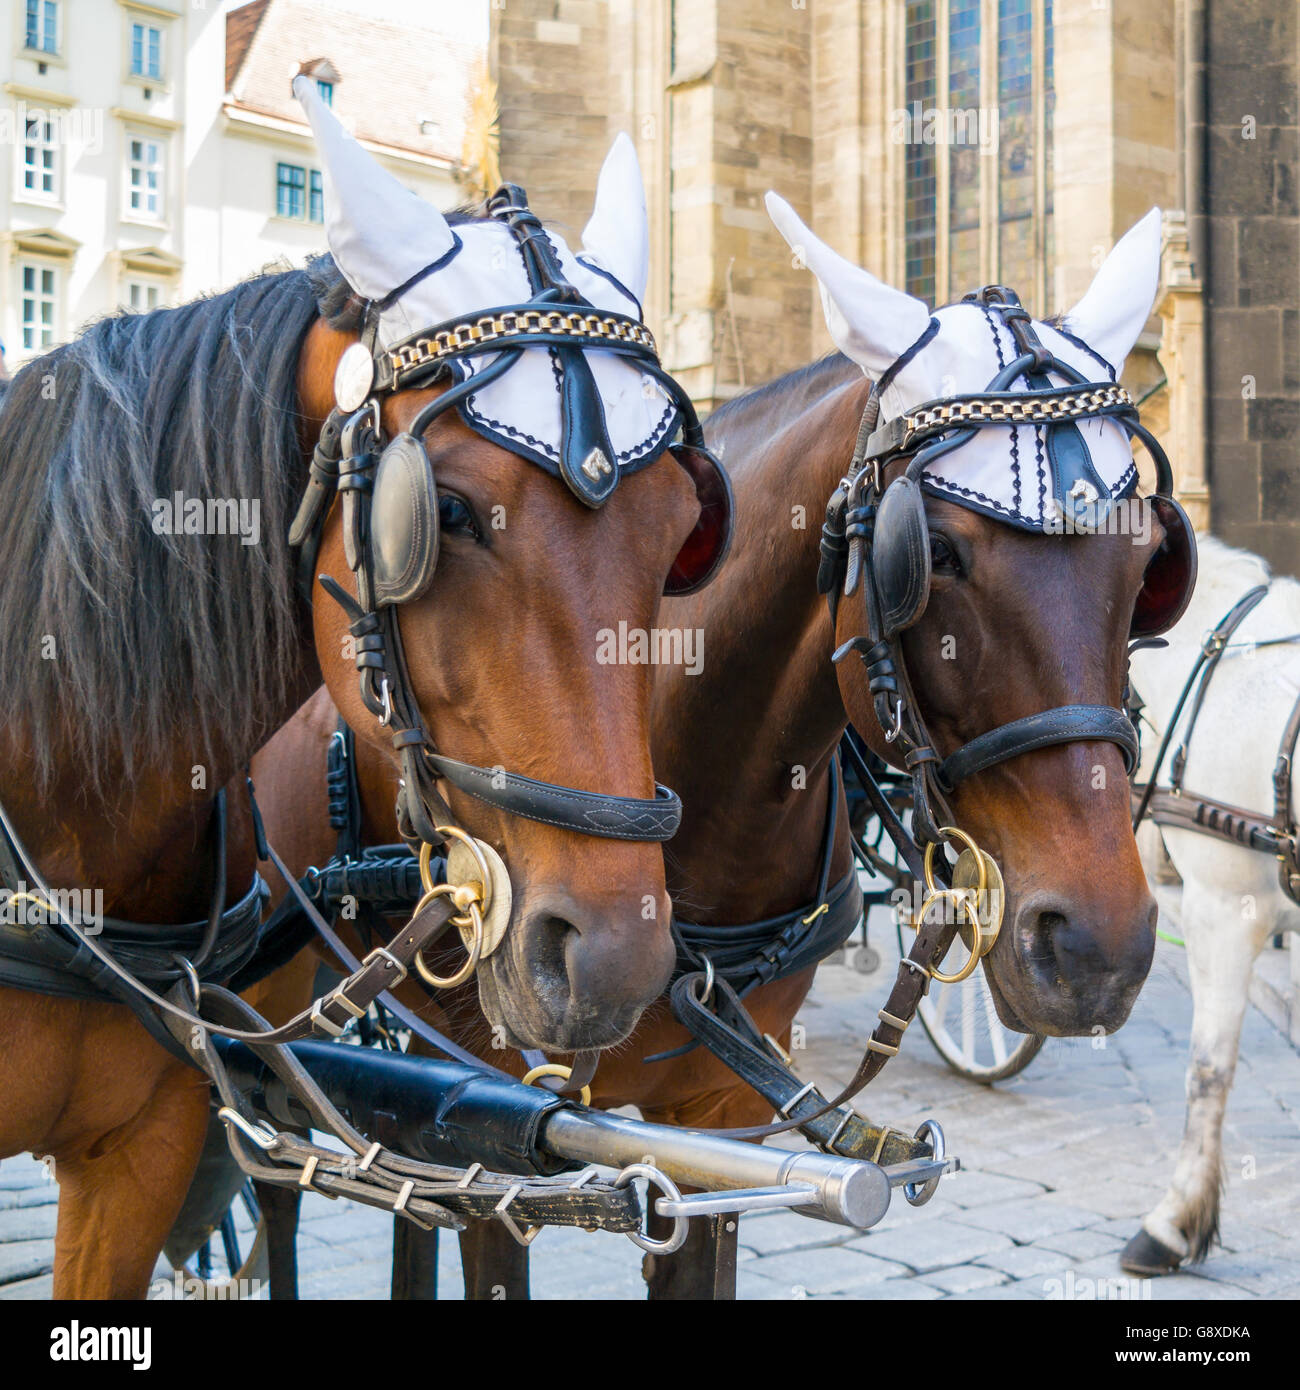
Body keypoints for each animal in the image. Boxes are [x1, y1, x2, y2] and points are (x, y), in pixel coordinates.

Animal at [242, 199, 1191, 1299]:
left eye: (1149, 563)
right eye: (937, 555)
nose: (1101, 948)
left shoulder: (716, 1127)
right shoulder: (493, 1126)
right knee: (266, 1176)